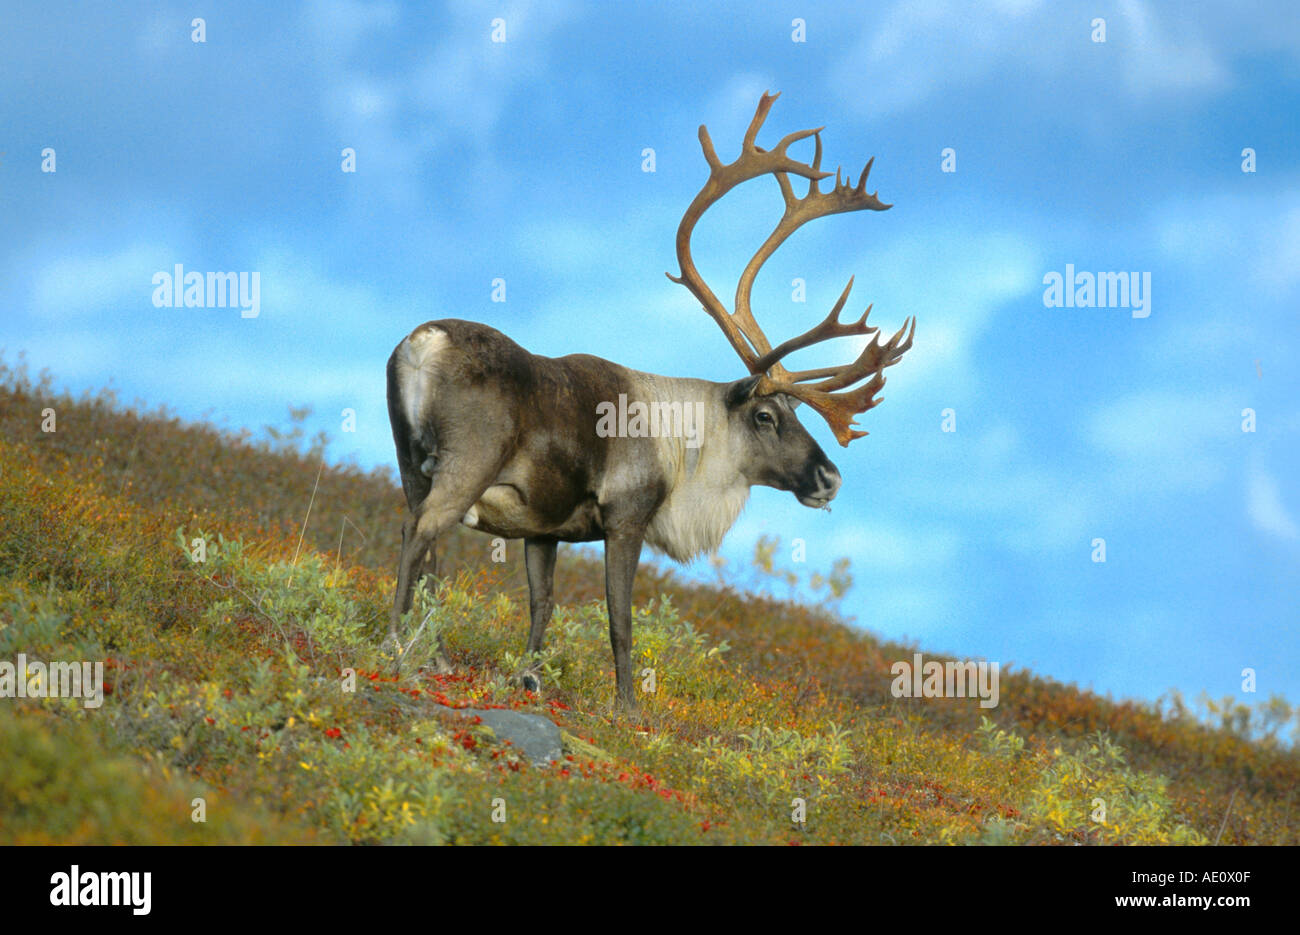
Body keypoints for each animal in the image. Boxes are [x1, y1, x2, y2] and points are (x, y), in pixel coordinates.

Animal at [386, 92, 915, 708]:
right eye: (766, 415)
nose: (830, 478)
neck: (680, 445)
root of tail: (423, 342)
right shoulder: (627, 518)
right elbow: (621, 620)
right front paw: (627, 706)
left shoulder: (542, 529)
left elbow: (543, 604)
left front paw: (529, 678)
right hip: (467, 463)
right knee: (418, 532)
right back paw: (397, 648)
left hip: (409, 460)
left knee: (426, 540)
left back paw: (436, 654)